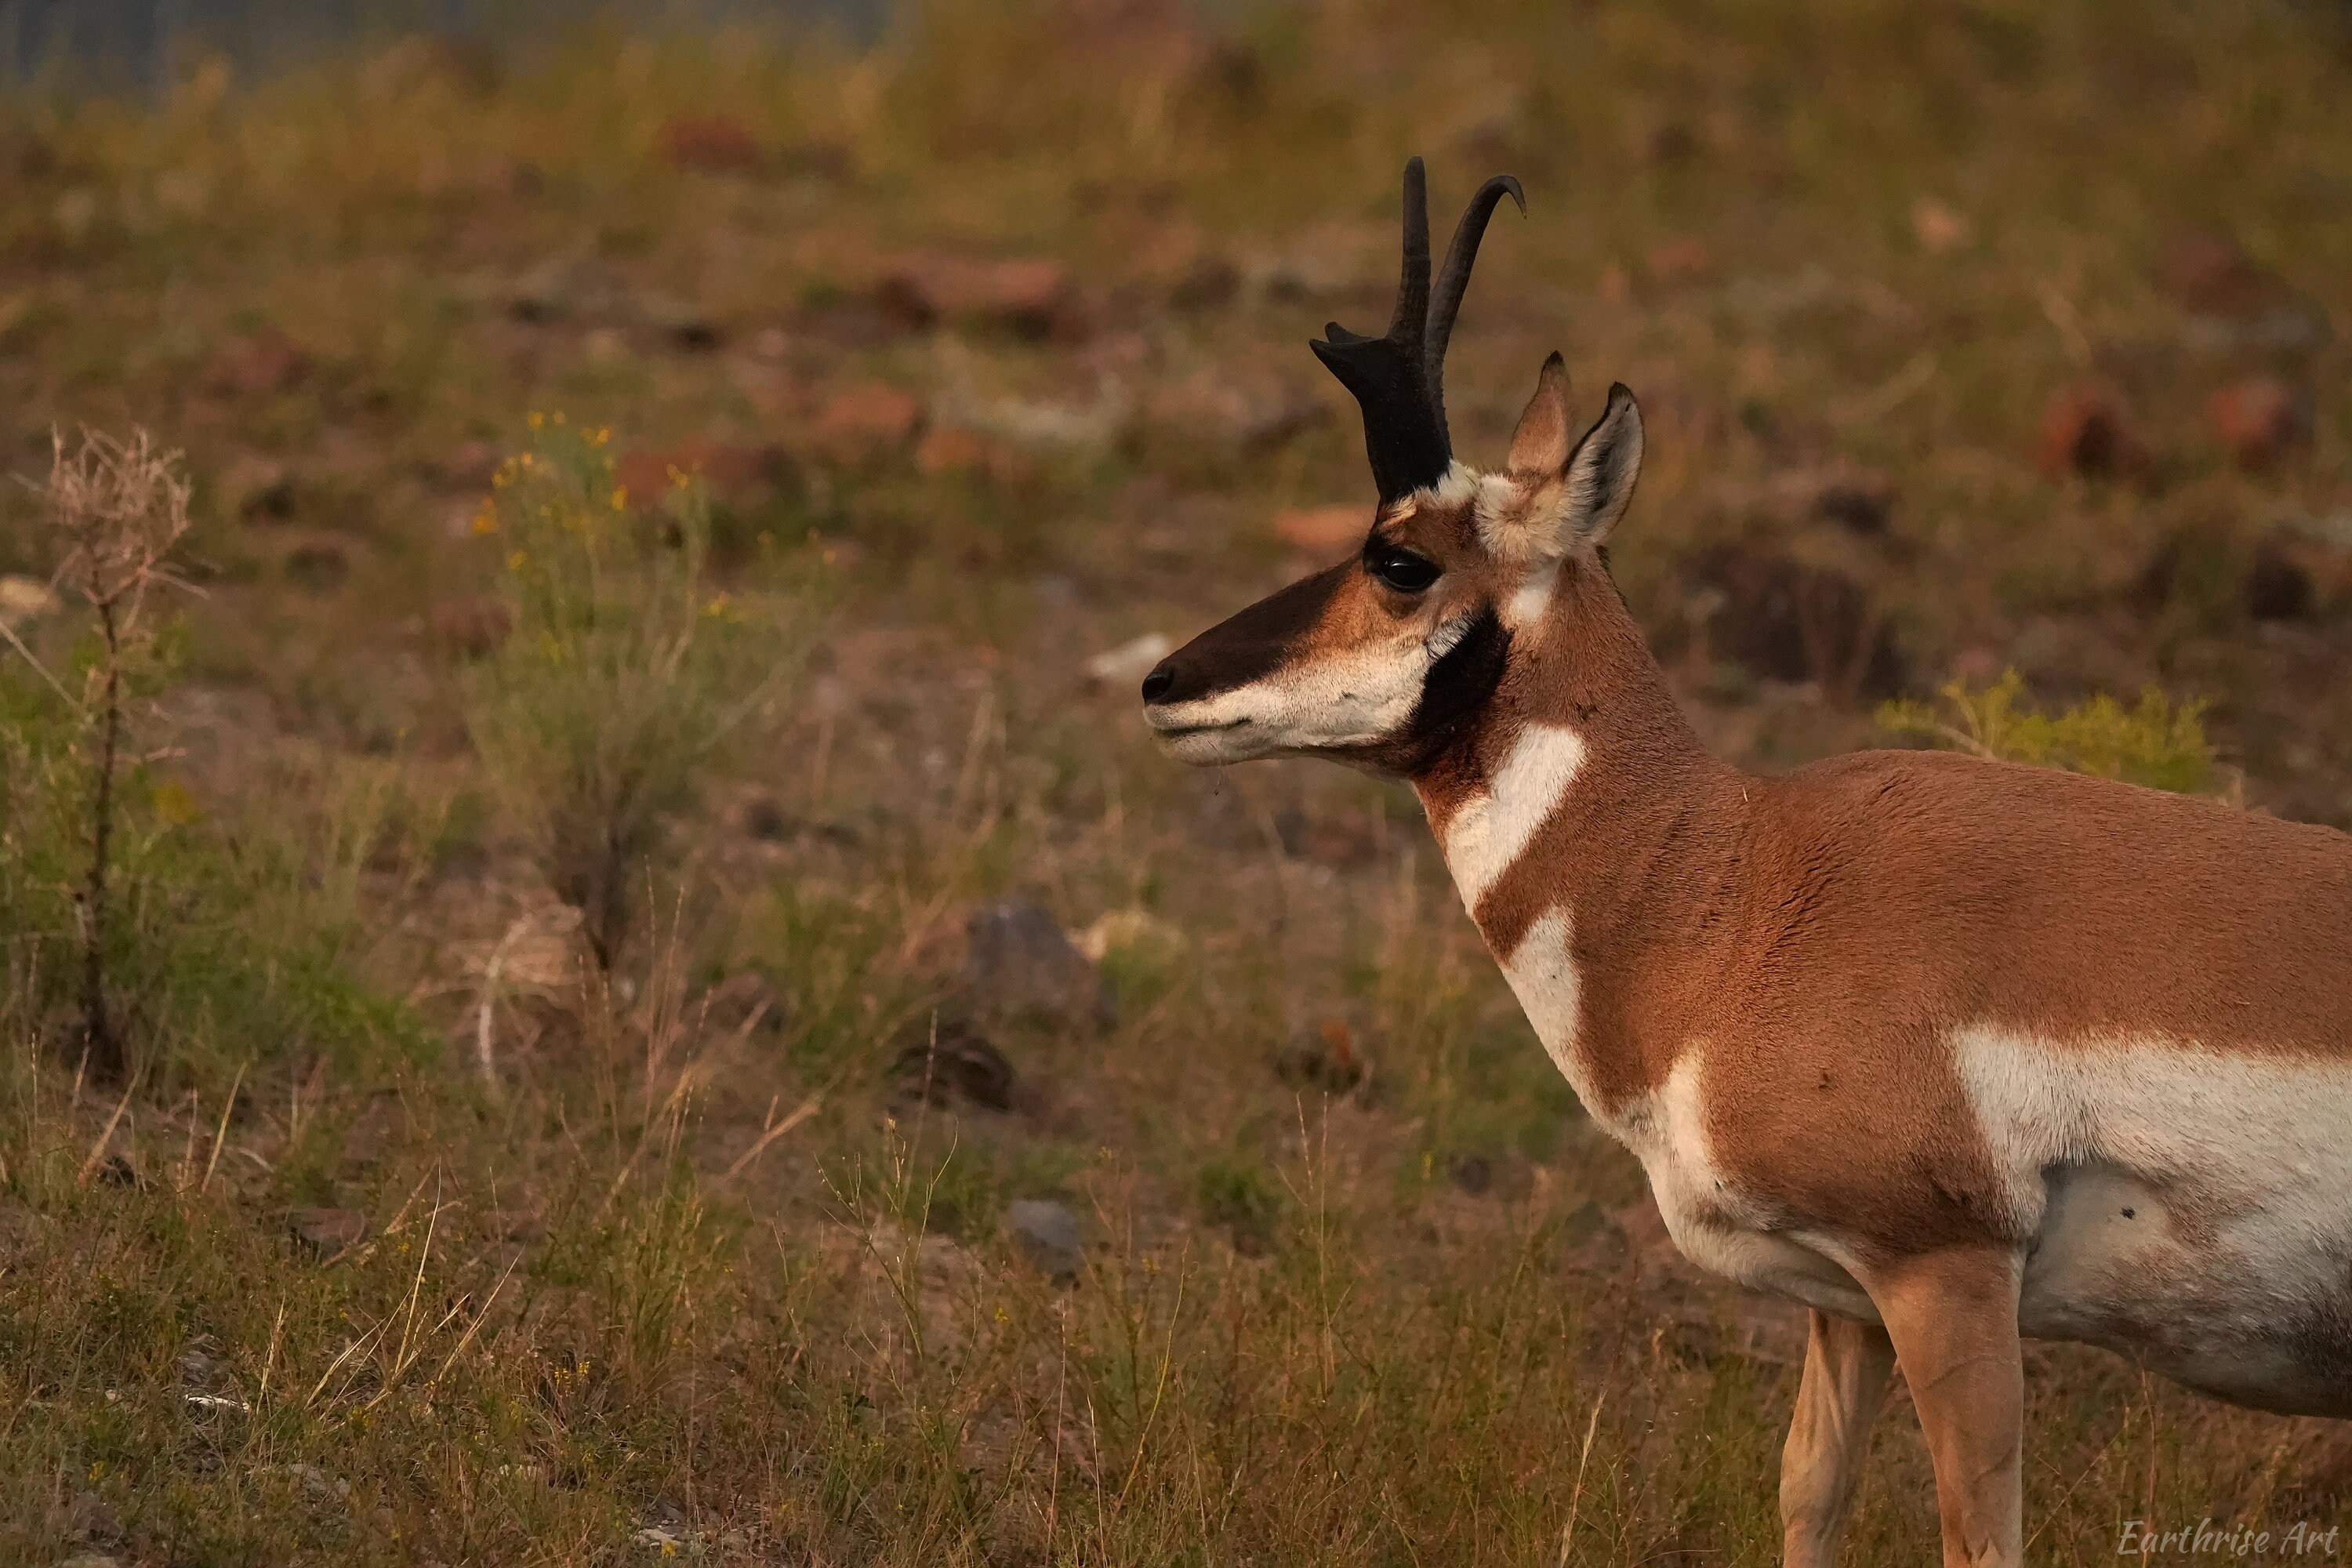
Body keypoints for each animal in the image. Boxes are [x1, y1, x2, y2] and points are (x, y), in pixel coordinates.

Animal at [1139, 158, 2352, 1567]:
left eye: (1400, 559)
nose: (1165, 684)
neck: (1743, 889)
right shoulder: (1848, 1305)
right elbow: (1807, 1494)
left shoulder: (1946, 1274)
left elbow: (1976, 1533)